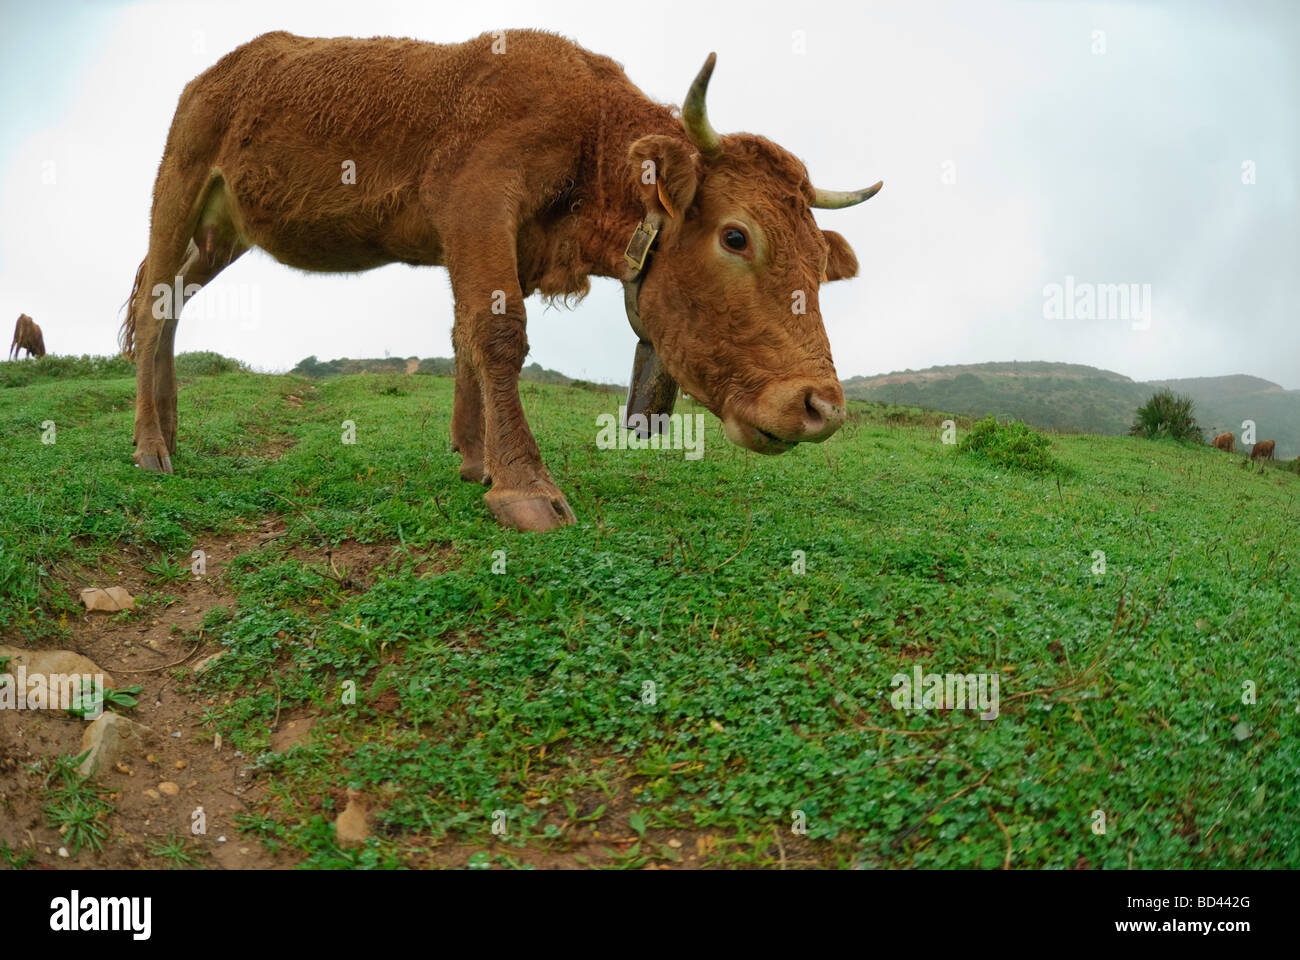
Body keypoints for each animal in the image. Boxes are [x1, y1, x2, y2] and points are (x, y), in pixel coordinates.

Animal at [119, 31, 881, 530]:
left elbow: (466, 336)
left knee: (174, 303)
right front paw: (523, 485)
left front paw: (476, 458)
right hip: (177, 184)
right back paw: (151, 446)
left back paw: (168, 430)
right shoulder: (476, 204)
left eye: (819, 264)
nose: (821, 406)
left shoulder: (497, 241)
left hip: (224, 233)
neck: (588, 137)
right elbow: (498, 333)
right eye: (735, 236)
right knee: (155, 304)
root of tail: (226, 65)